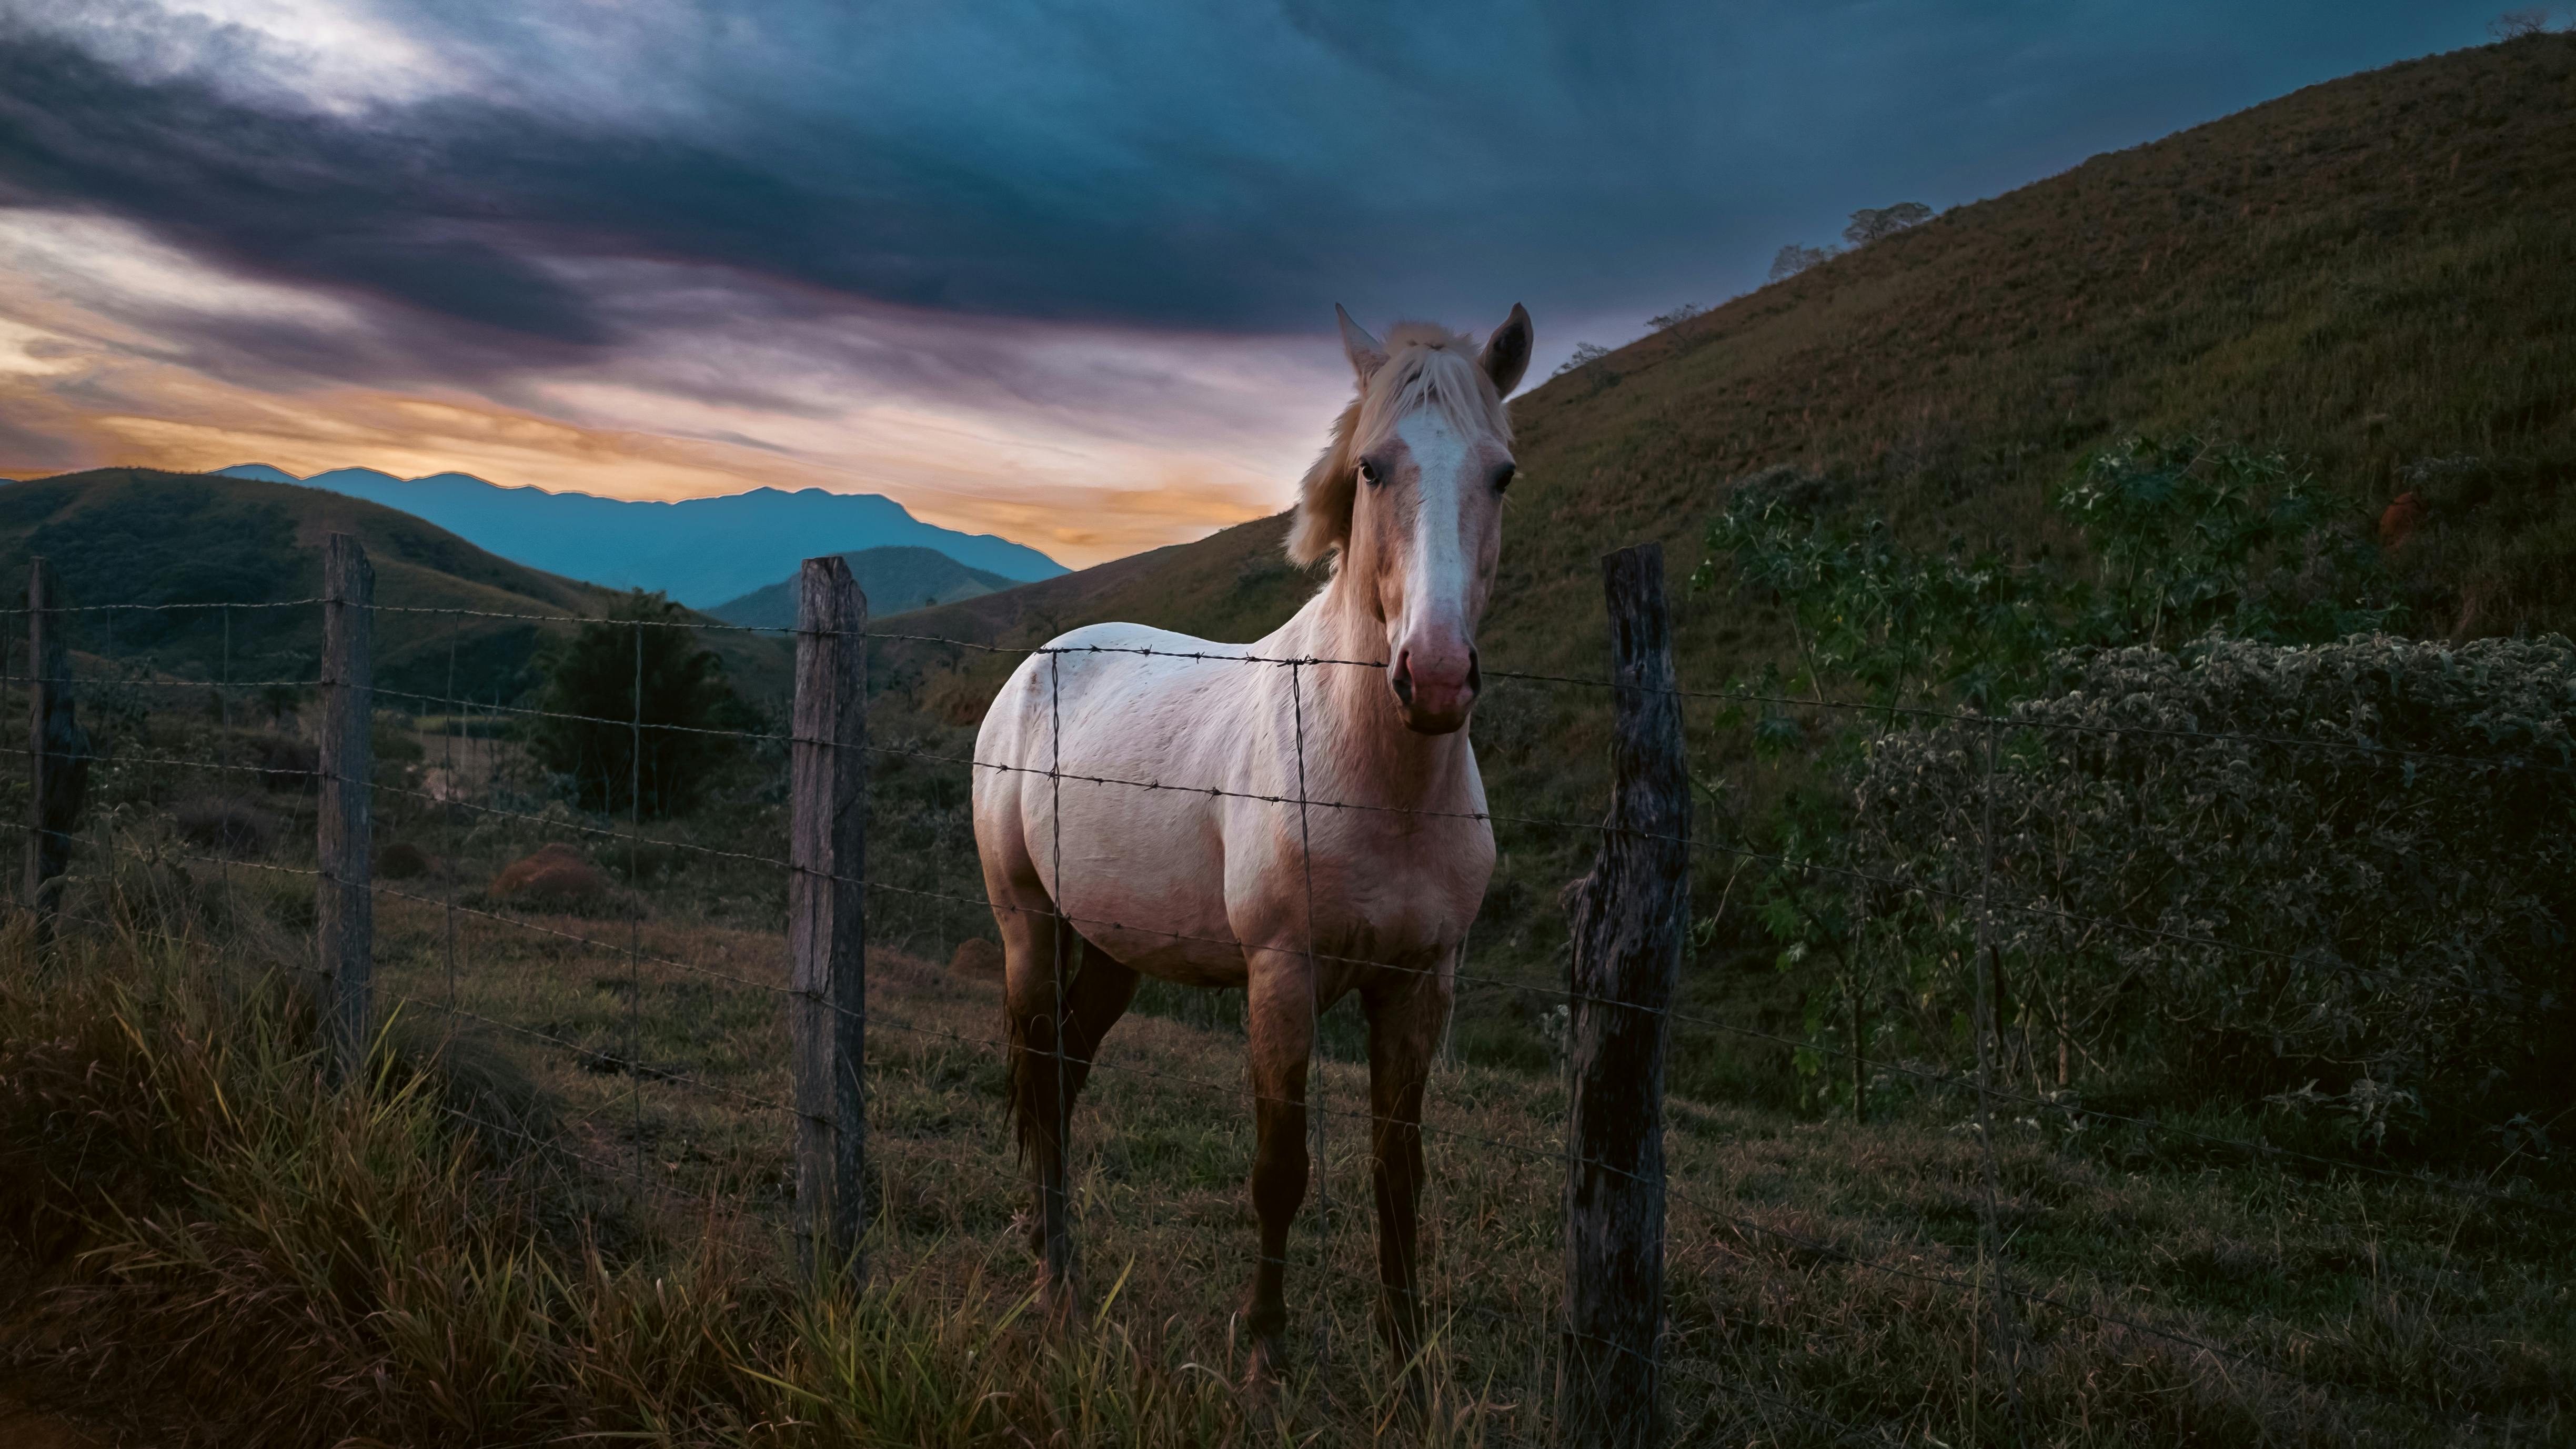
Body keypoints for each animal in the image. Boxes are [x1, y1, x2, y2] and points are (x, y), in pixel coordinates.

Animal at [971, 302, 1532, 1380]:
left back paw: (1050, 1247)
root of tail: (1036, 664)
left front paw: (1407, 1363)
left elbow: (1399, 1173)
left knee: (1066, 1071)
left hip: (1114, 946)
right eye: (1372, 467)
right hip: (1027, 923)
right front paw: (1264, 1346)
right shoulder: (1281, 977)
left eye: (1503, 473)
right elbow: (1281, 1167)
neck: (1382, 783)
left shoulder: (1422, 986)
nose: (1437, 676)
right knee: (1043, 1073)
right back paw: (1056, 1281)